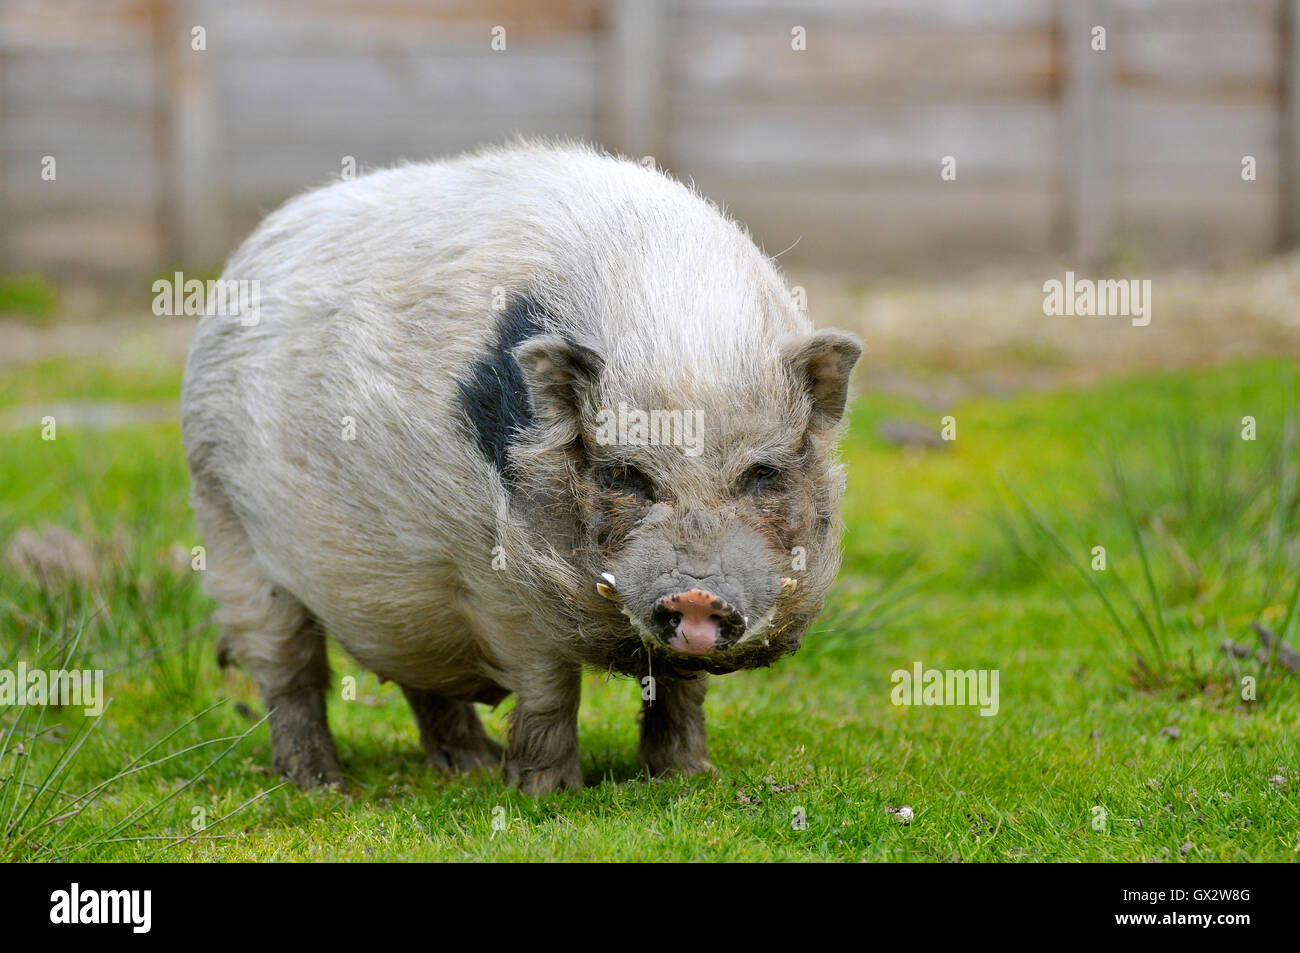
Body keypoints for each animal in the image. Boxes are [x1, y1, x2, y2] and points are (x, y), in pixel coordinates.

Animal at [180, 141, 861, 794]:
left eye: (762, 473)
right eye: (624, 475)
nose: (697, 596)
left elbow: (681, 690)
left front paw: (689, 777)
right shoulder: (488, 578)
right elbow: (548, 687)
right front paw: (546, 792)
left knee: (422, 677)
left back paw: (470, 770)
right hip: (225, 520)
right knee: (289, 670)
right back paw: (324, 787)